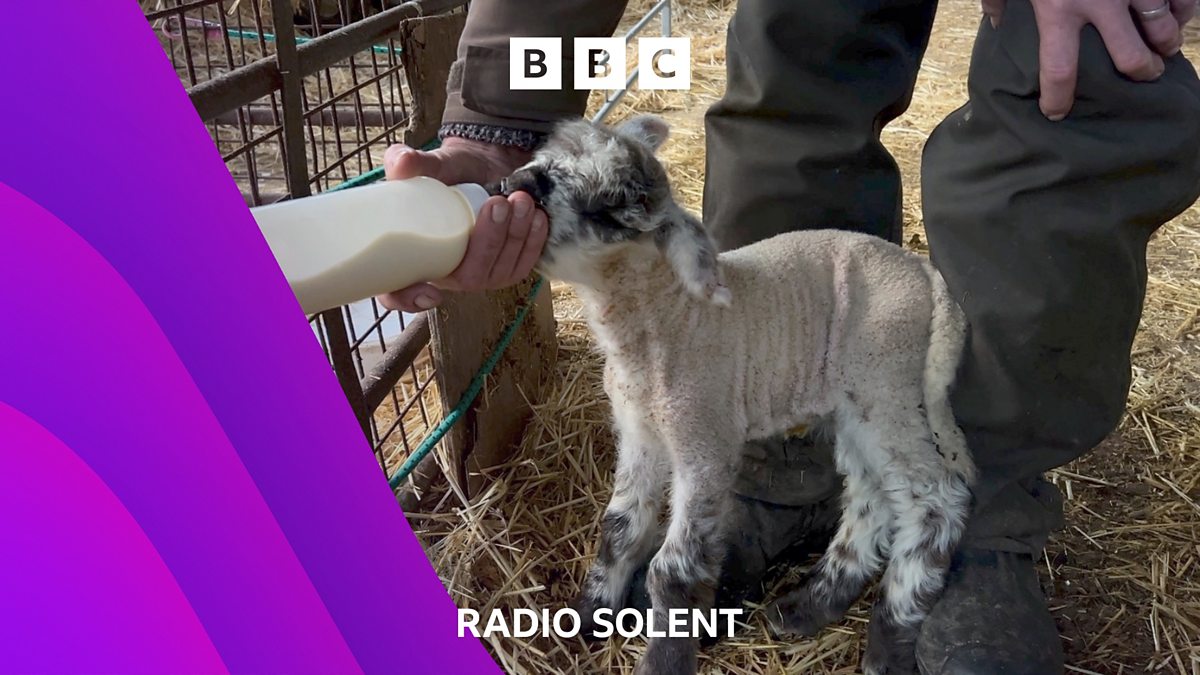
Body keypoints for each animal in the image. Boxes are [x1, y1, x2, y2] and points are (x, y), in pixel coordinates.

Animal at [500, 115, 976, 675]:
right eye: (549, 159)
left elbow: (674, 570)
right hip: (857, 402)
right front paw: (588, 616)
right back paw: (807, 605)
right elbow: (619, 527)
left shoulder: (704, 440)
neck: (670, 319)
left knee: (935, 501)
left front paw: (663, 661)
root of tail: (930, 280)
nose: (520, 186)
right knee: (873, 496)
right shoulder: (640, 432)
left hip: (889, 385)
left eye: (615, 208)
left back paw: (889, 641)